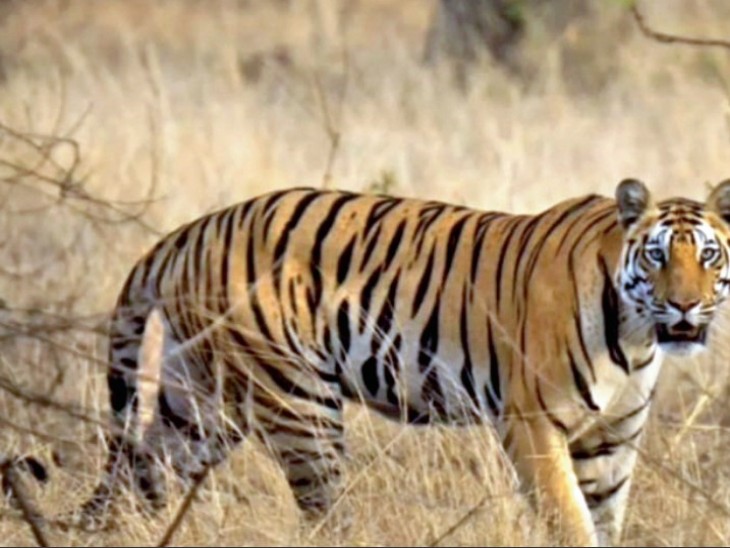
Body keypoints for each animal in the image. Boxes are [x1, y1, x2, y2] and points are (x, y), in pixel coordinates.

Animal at [73, 179, 730, 546]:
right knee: (323, 516)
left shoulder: (611, 440)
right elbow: (570, 522)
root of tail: (188, 231)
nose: (686, 305)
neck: (636, 337)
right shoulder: (534, 424)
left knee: (138, 477)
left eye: (708, 256)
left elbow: (605, 518)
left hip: (200, 403)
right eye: (657, 256)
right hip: (298, 403)